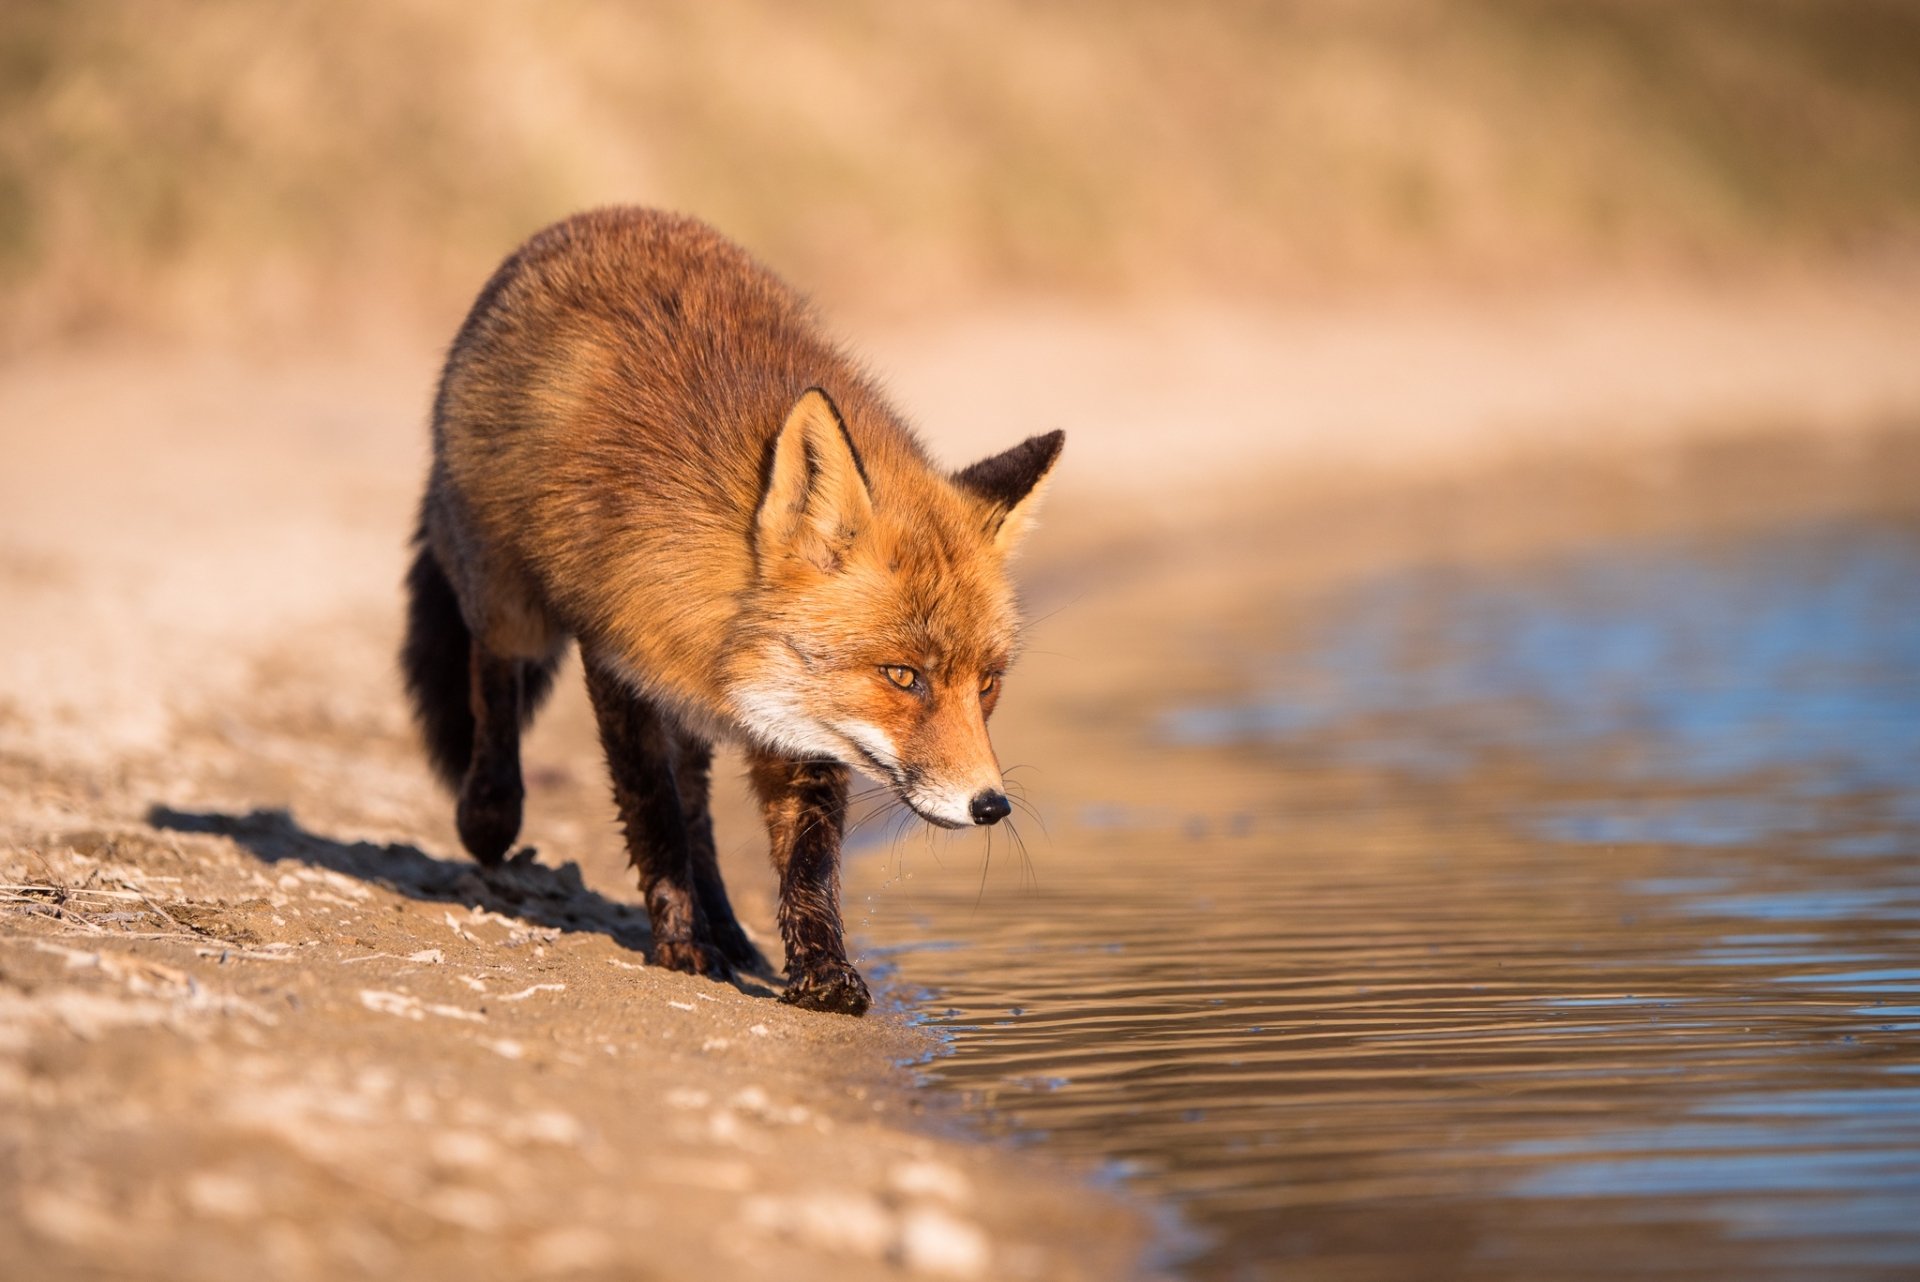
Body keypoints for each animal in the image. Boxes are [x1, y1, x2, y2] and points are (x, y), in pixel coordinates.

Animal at [402, 207, 1062, 1016]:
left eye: (988, 684)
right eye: (903, 676)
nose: (990, 806)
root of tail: (606, 214)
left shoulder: (804, 718)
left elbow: (805, 861)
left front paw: (820, 970)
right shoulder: (620, 662)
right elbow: (654, 817)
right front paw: (681, 945)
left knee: (699, 808)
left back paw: (726, 922)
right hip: (510, 603)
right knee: (494, 677)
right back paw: (491, 814)